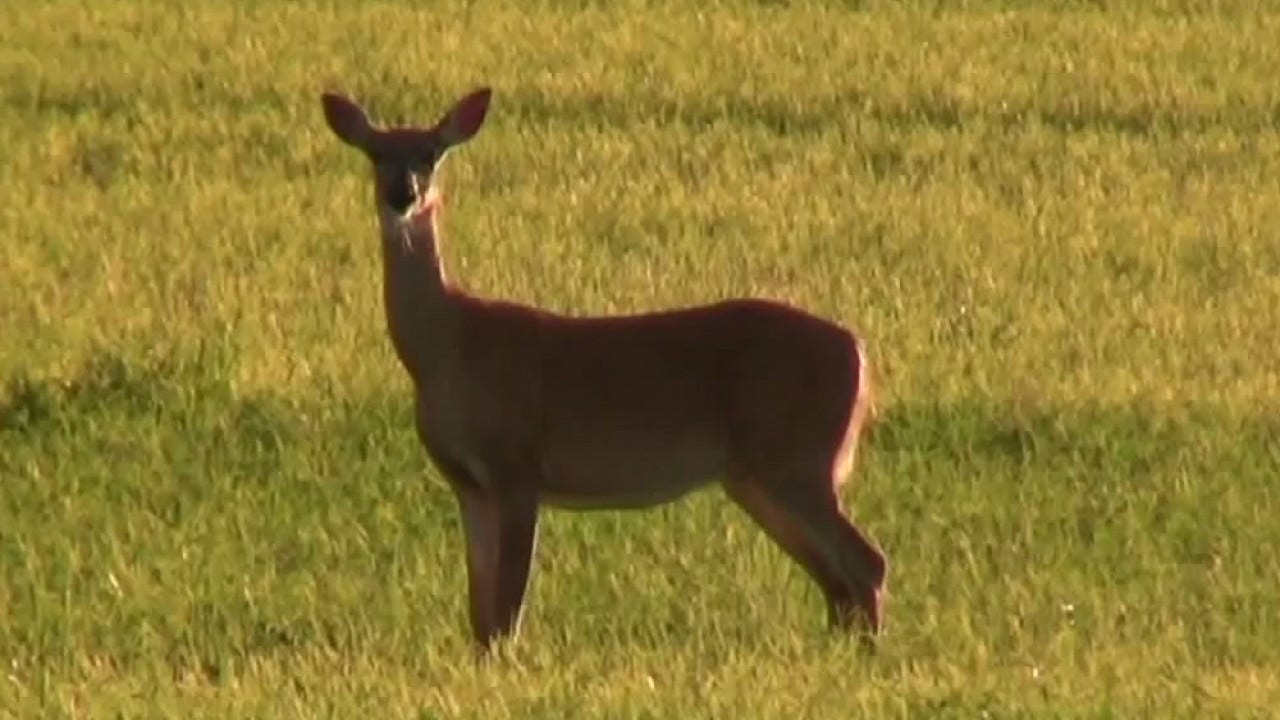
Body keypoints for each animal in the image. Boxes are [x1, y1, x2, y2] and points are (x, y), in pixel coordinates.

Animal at [319, 86, 889, 654]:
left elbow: (508, 604)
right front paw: (483, 662)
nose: (403, 195)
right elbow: (480, 610)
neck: (447, 348)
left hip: (796, 457)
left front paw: (510, 663)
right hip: (756, 474)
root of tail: (859, 352)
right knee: (836, 581)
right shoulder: (467, 483)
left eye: (431, 152)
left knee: (868, 563)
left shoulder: (518, 463)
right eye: (375, 152)